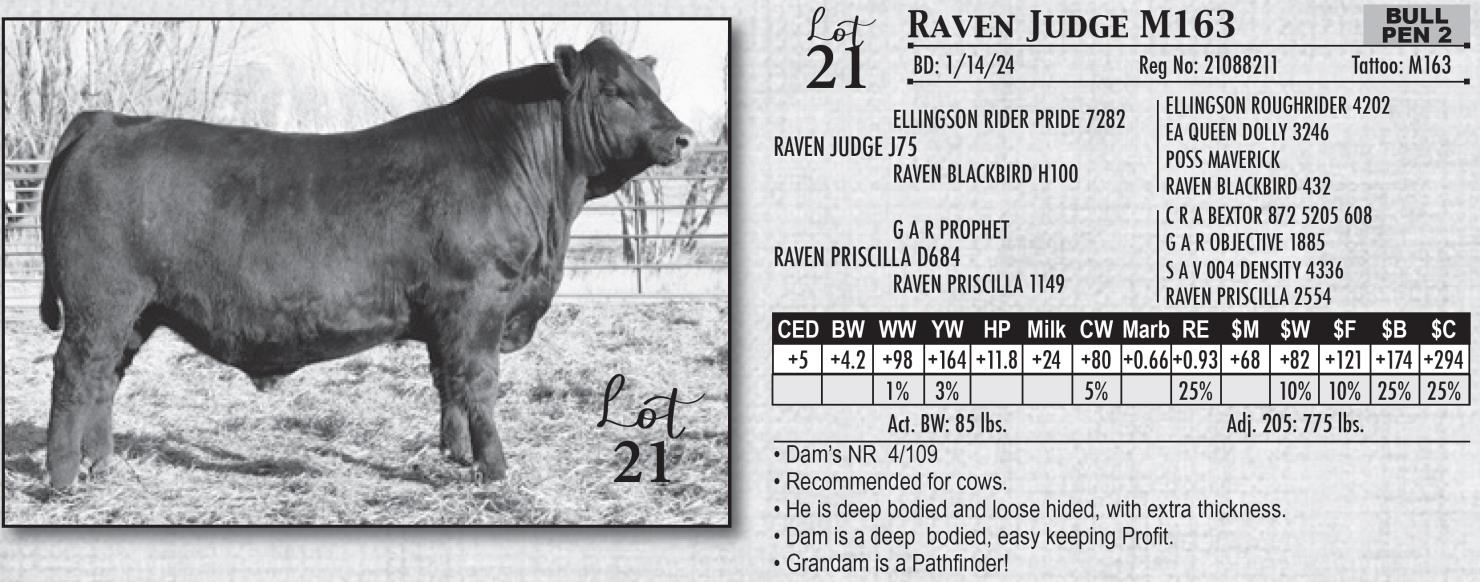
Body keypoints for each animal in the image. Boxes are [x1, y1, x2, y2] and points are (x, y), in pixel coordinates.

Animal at [37, 37, 693, 490]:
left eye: (652, 82)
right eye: (612, 90)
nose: (683, 135)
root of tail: (107, 120)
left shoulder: (445, 315)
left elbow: (448, 382)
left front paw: (455, 454)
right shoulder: (477, 300)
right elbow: (479, 383)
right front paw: (496, 470)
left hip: (136, 310)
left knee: (105, 378)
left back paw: (101, 463)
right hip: (100, 303)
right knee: (75, 374)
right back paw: (64, 479)